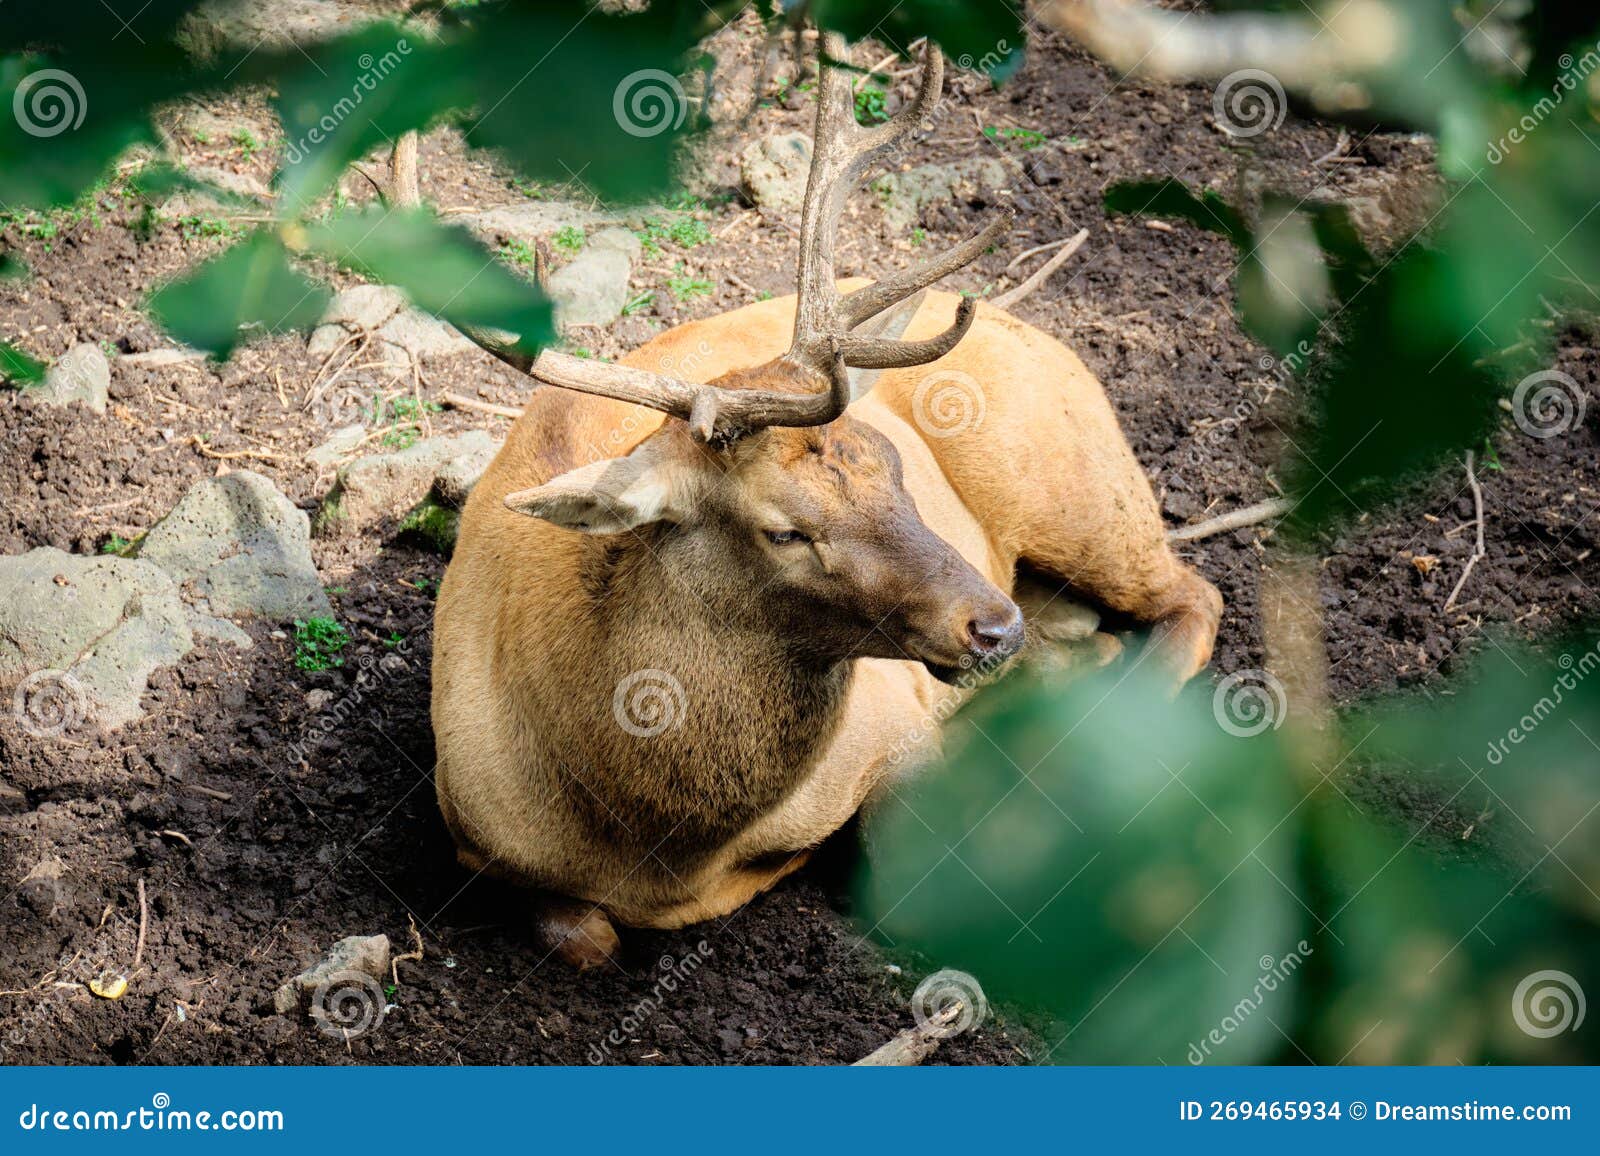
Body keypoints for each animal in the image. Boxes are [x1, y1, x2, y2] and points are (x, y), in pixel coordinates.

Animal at [431, 32, 1222, 968]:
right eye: (783, 531)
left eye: (893, 464)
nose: (991, 626)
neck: (653, 847)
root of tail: (1039, 330)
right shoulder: (473, 835)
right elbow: (582, 935)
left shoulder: (893, 726)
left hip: (1078, 488)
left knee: (1193, 595)